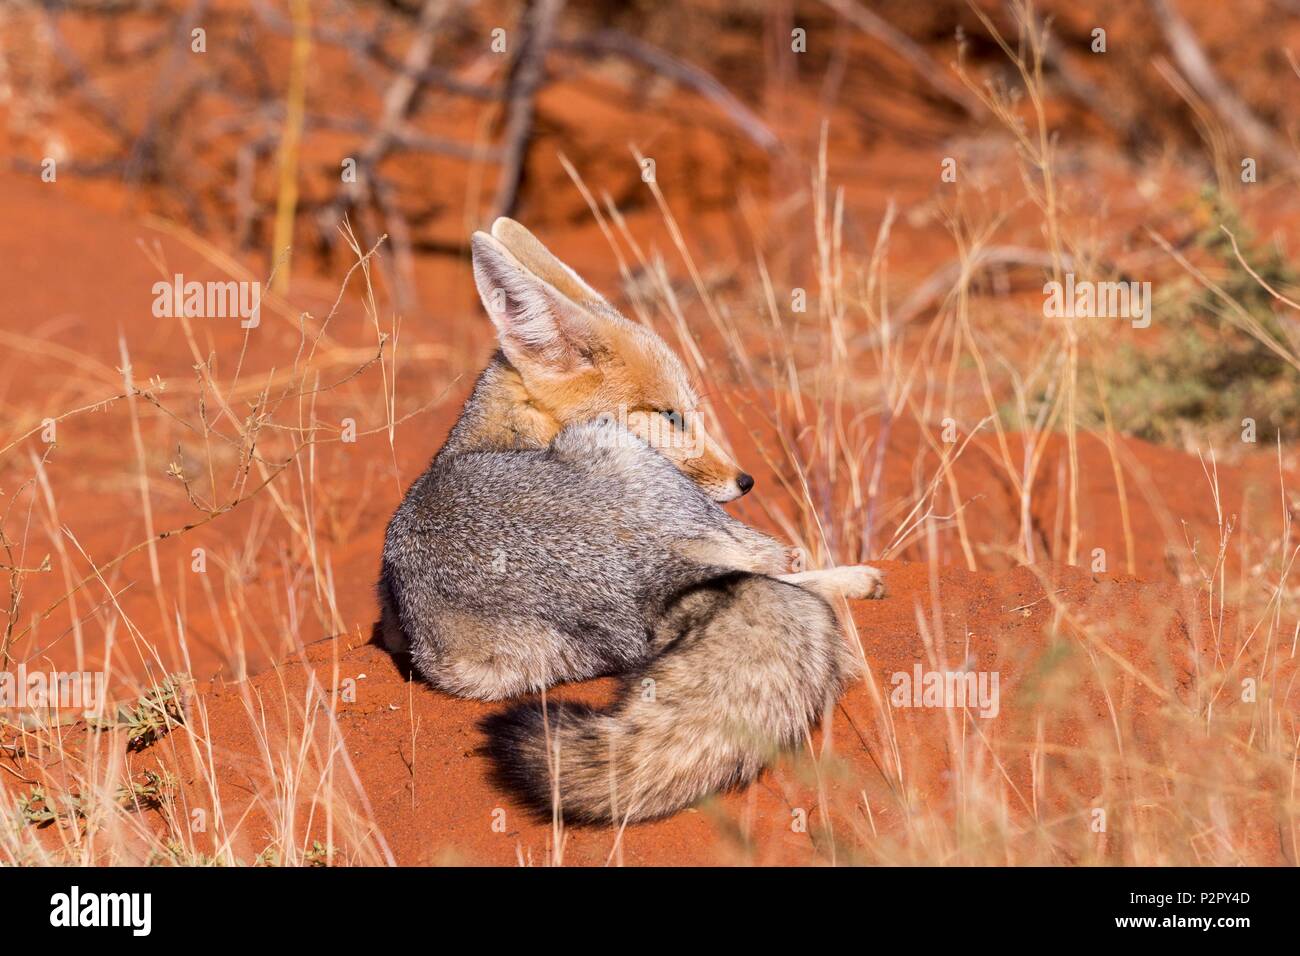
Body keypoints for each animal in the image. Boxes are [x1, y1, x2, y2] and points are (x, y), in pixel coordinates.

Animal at [378, 217, 885, 824]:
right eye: (671, 417)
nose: (746, 481)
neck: (509, 427)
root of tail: (647, 573)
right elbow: (787, 563)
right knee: (784, 572)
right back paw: (859, 579)